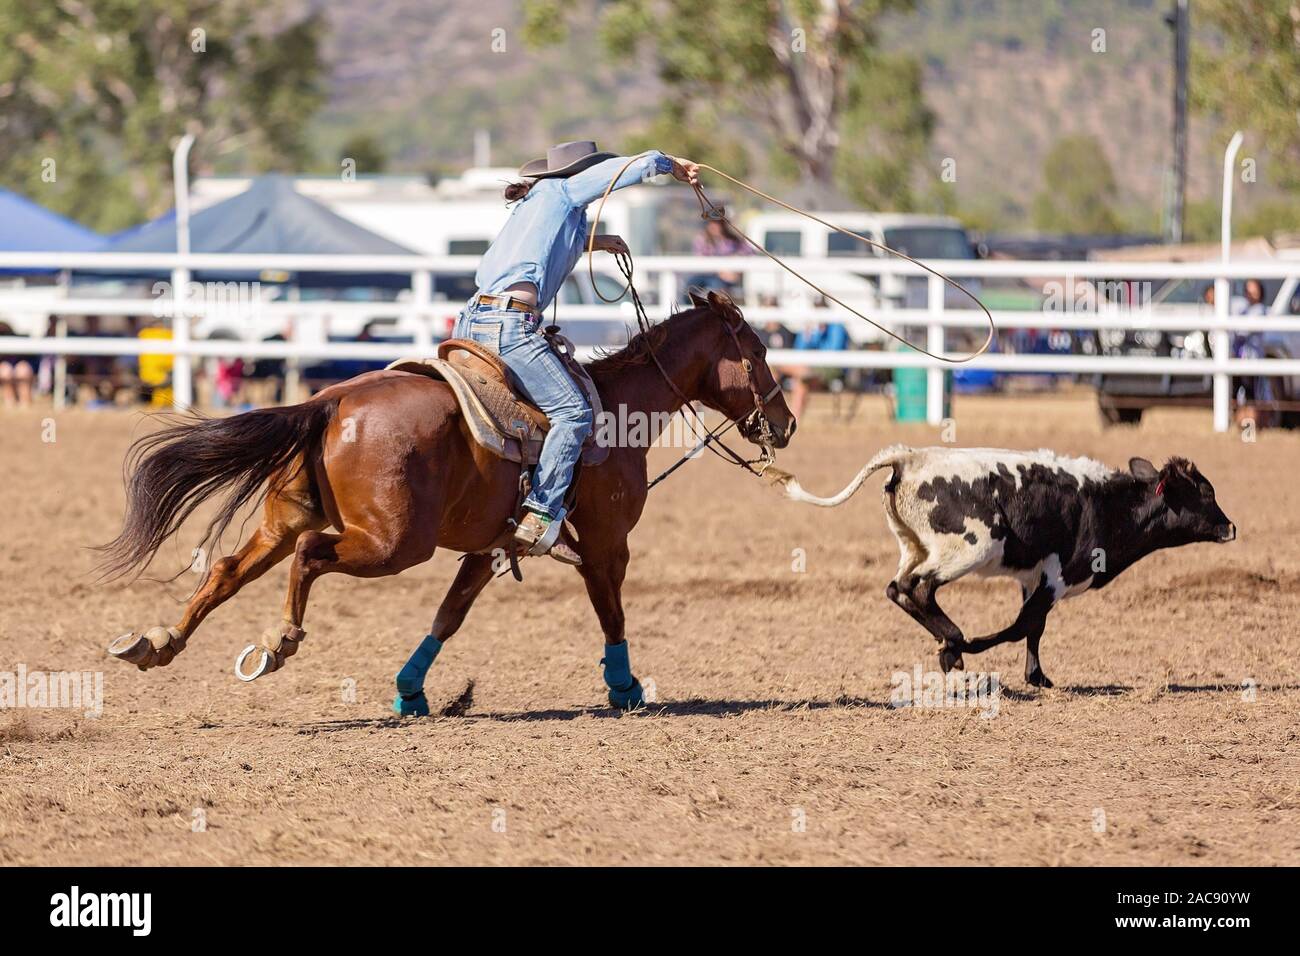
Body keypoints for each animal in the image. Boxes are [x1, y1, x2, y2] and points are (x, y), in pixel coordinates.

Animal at [769, 446, 1236, 688]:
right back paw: (954, 643)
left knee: (897, 588)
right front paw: (968, 649)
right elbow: (1020, 626)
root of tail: (912, 458)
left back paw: (948, 641)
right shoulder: (1056, 576)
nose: (1230, 527)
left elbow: (1033, 629)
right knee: (918, 589)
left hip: (914, 547)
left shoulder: (1034, 577)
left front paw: (1038, 677)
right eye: (1206, 493)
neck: (1104, 503)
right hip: (968, 549)